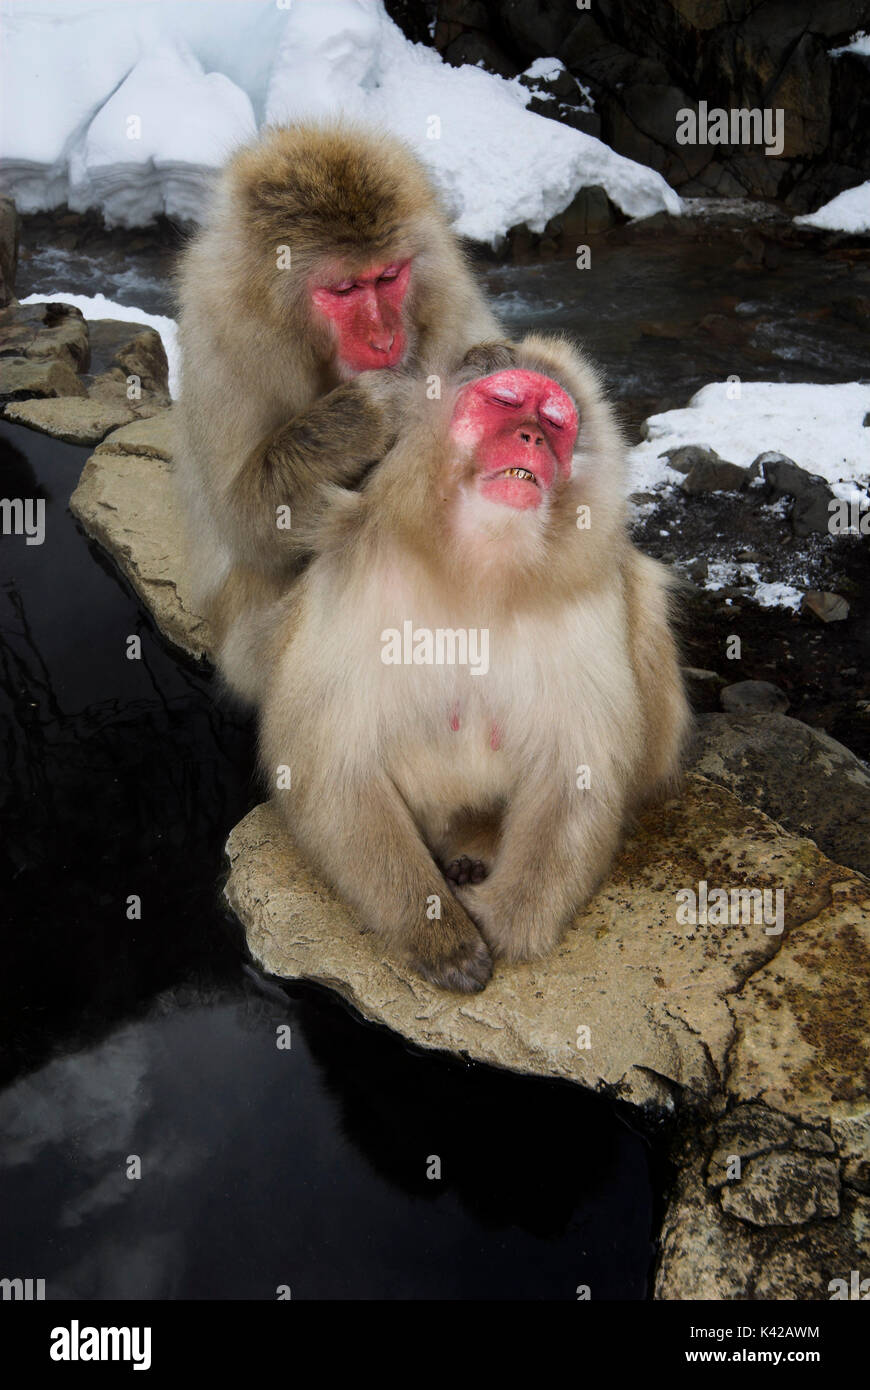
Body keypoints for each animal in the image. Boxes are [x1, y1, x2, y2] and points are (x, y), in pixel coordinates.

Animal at [173, 120, 513, 692]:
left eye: (389, 276)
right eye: (345, 288)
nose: (384, 340)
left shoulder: (446, 291)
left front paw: (487, 363)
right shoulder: (222, 342)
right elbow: (242, 524)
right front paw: (365, 417)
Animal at [246, 332, 691, 993]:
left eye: (555, 421)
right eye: (504, 401)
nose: (532, 439)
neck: (482, 562)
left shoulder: (591, 595)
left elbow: (574, 770)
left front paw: (503, 923)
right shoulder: (358, 577)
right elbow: (330, 766)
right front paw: (440, 935)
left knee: (648, 598)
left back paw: (478, 836)